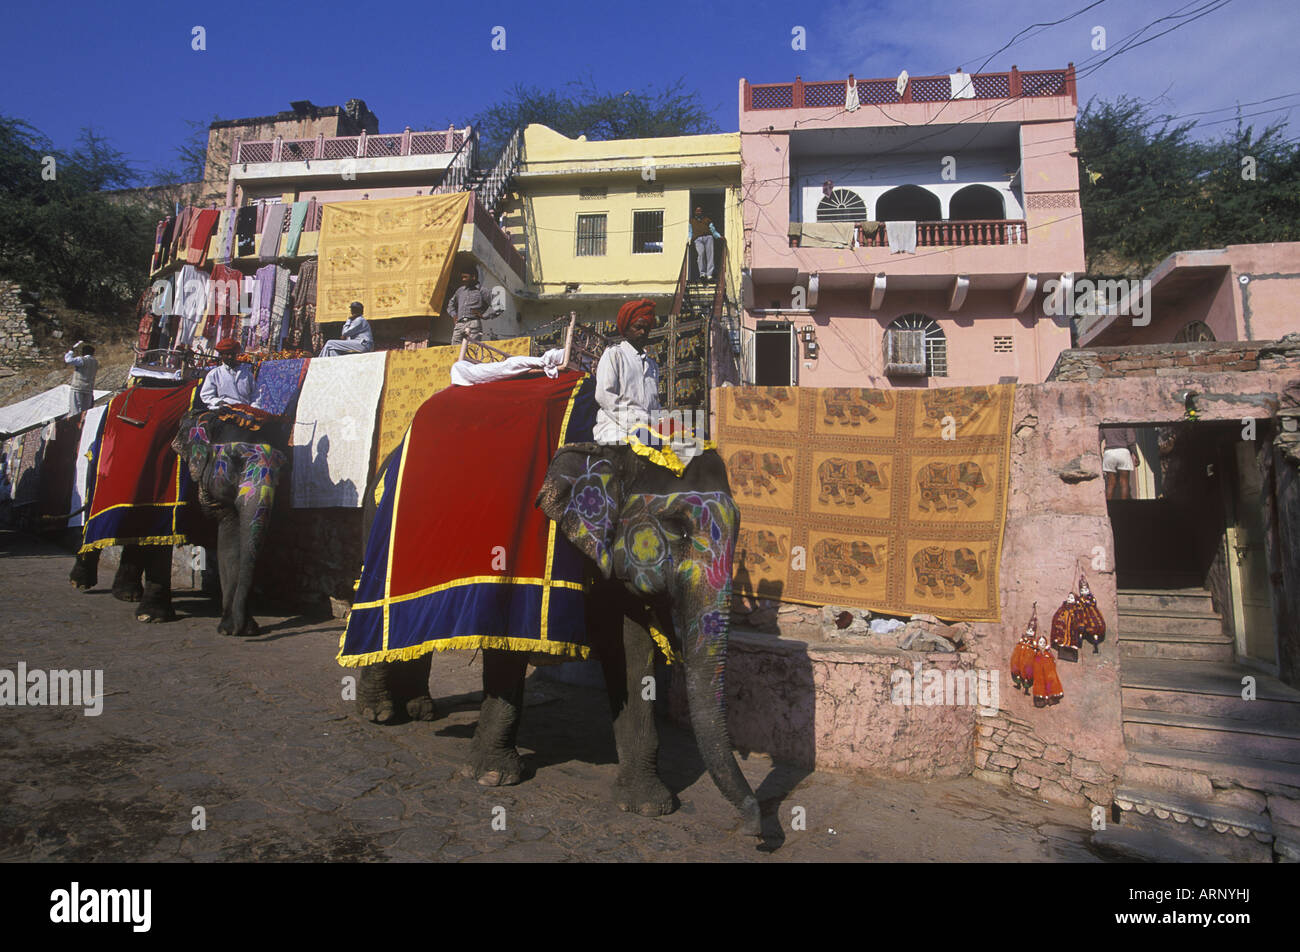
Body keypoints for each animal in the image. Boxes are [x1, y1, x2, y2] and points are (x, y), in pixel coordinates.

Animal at [354, 442, 762, 835]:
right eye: (678, 528)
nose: (753, 830)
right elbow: (509, 640)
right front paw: (493, 777)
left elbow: (632, 650)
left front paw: (648, 807)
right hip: (376, 529)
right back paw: (378, 713)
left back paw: (420, 710)